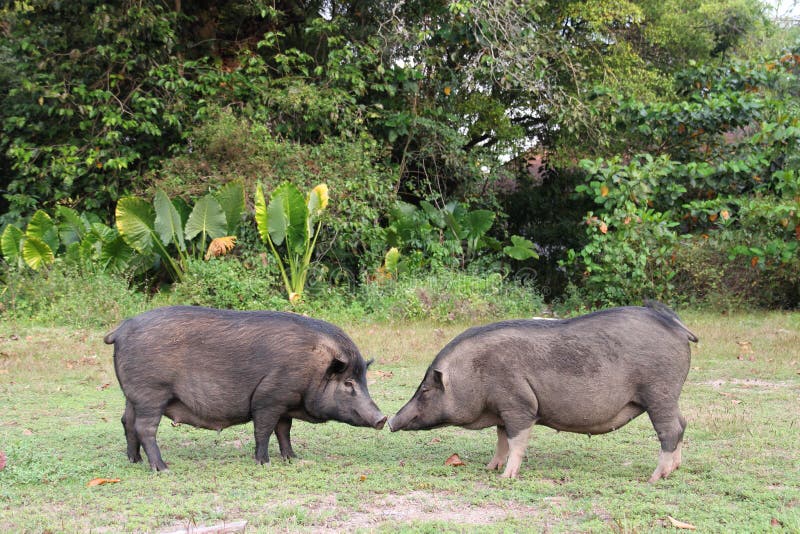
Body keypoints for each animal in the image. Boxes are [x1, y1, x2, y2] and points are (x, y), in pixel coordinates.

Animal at [104, 306, 386, 471]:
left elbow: (284, 431)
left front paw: (292, 458)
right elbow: (264, 430)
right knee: (144, 427)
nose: (382, 418)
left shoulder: (284, 403)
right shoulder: (269, 398)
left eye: (364, 380)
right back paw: (162, 467)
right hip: (152, 392)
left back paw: (135, 460)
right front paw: (264, 462)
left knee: (127, 421)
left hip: (133, 395)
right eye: (348, 383)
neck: (313, 368)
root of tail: (120, 329)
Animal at [388, 301, 697, 482]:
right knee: (683, 424)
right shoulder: (502, 410)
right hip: (670, 396)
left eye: (425, 390)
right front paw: (490, 468)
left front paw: (506, 478)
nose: (391, 421)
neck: (473, 373)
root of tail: (677, 325)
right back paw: (674, 470)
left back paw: (654, 478)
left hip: (659, 392)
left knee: (670, 430)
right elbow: (501, 439)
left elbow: (516, 441)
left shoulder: (519, 404)